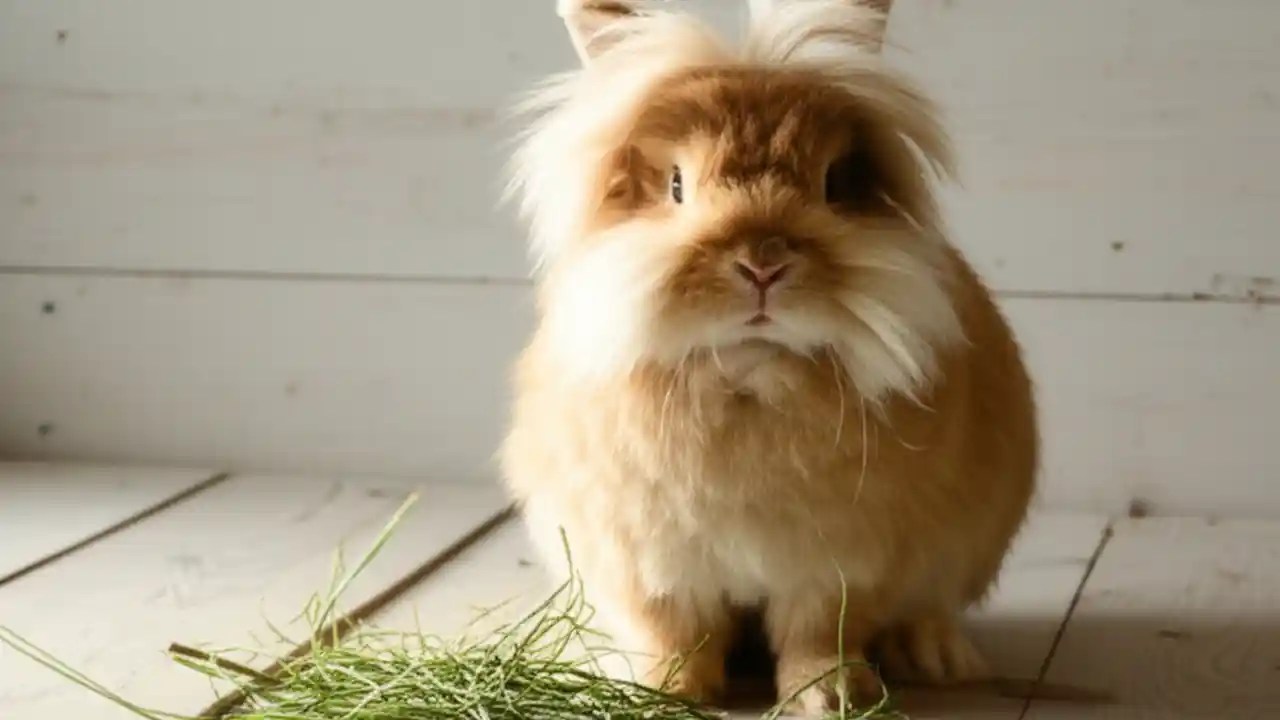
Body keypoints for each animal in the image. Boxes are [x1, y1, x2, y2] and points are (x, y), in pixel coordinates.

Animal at [500, 0, 1037, 714]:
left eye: (835, 183)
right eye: (676, 184)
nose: (762, 264)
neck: (749, 378)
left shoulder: (844, 563)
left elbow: (820, 633)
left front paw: (830, 698)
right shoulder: (647, 560)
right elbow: (674, 630)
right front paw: (662, 691)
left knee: (929, 607)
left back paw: (937, 657)